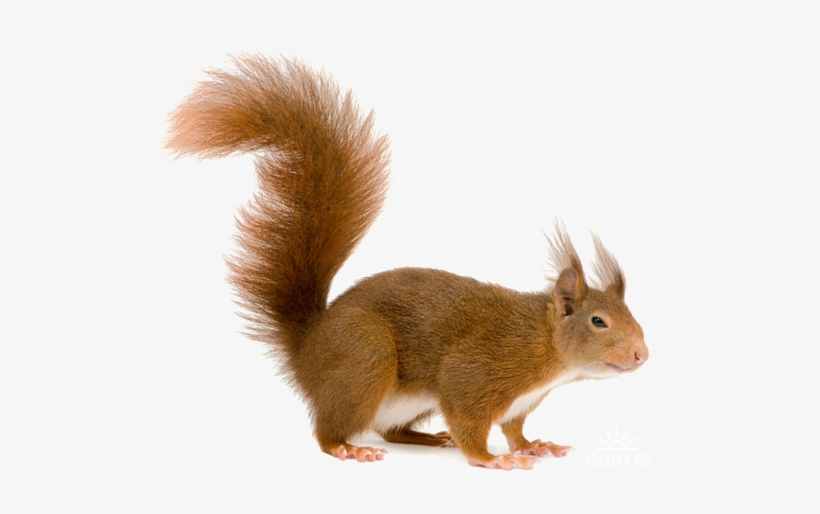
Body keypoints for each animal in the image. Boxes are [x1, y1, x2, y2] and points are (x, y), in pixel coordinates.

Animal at [166, 54, 648, 470]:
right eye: (599, 322)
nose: (643, 355)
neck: (545, 346)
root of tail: (307, 349)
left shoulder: (521, 401)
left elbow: (514, 429)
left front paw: (535, 445)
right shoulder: (479, 371)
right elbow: (469, 419)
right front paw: (491, 459)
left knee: (391, 430)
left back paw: (428, 438)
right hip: (365, 357)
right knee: (329, 430)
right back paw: (348, 448)